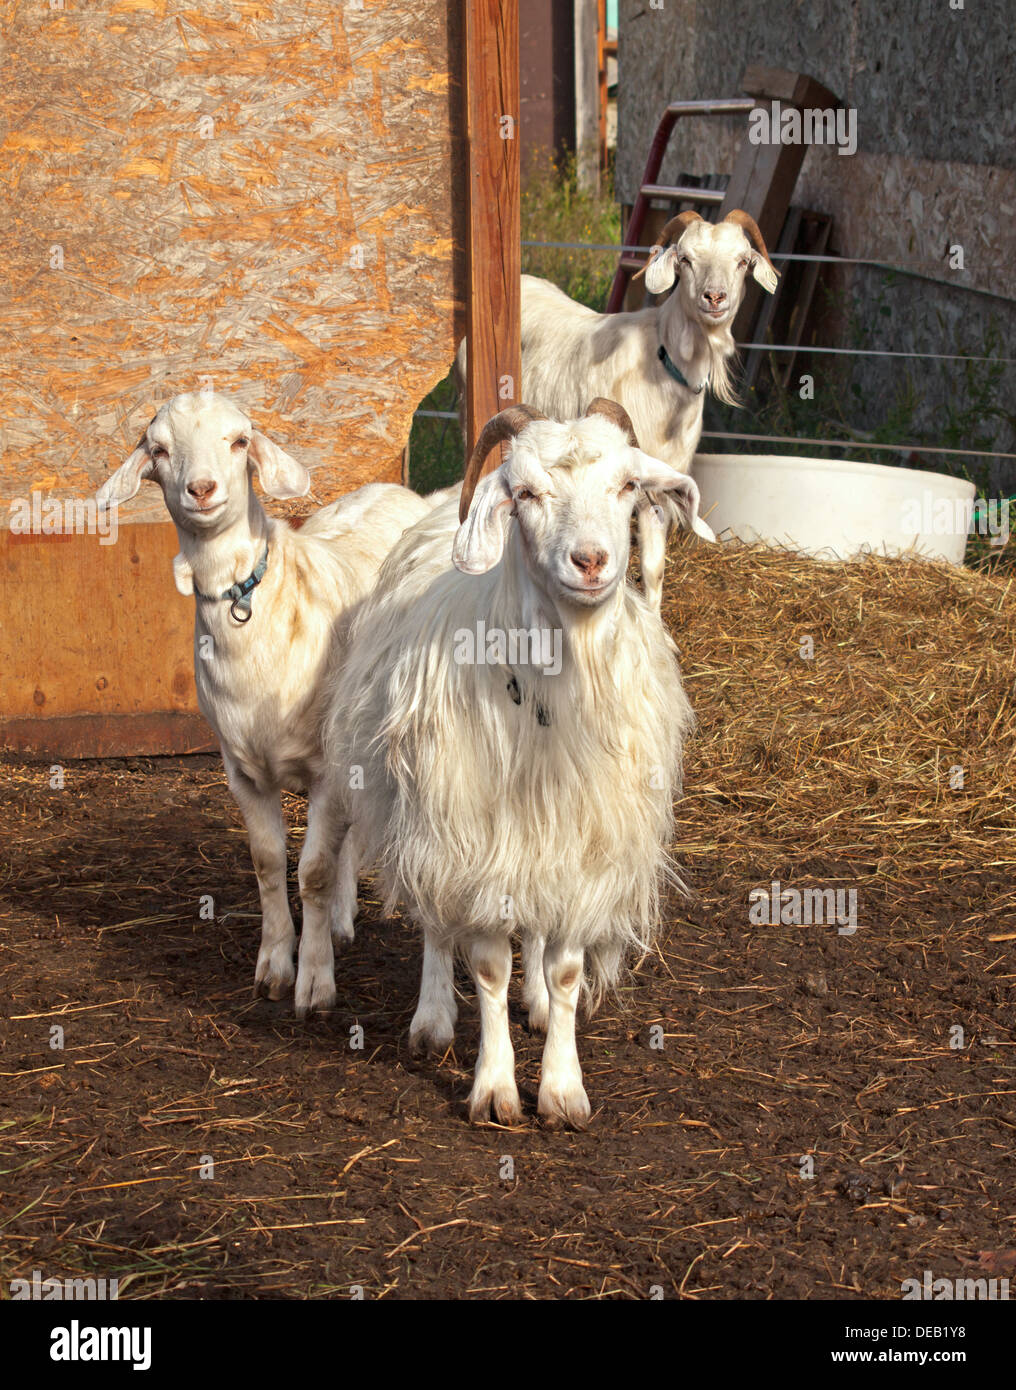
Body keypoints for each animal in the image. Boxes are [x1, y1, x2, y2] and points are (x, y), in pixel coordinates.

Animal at [96, 391, 430, 1016]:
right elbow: (270, 863)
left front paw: (315, 985)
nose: (201, 489)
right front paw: (275, 965)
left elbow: (315, 871)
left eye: (239, 441)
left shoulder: (326, 769)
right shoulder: (241, 770)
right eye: (159, 449)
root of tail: (395, 489)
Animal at [321, 399, 711, 1126]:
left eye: (627, 485)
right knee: (436, 920)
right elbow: (486, 967)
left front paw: (560, 1087)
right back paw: (433, 1021)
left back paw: (534, 1005)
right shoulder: (471, 838)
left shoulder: (583, 850)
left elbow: (563, 969)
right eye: (525, 492)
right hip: (423, 812)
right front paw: (496, 1088)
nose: (591, 560)